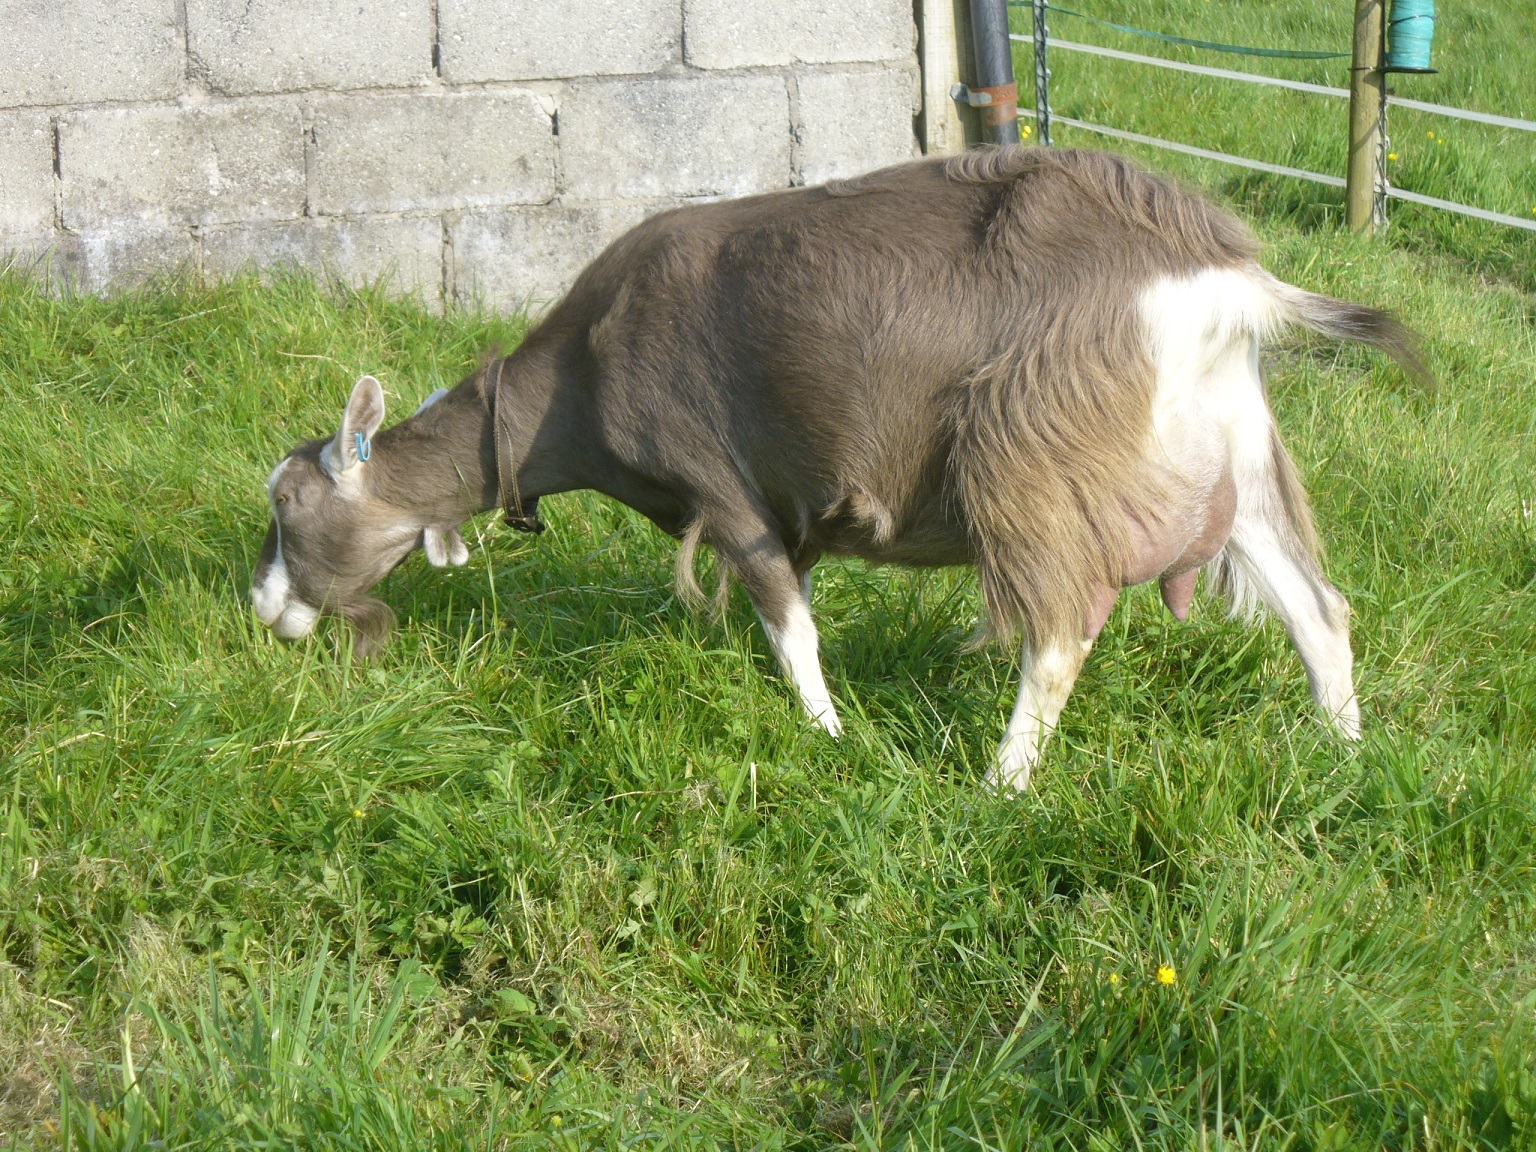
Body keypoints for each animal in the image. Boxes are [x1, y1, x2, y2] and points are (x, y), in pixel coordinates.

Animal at [250, 147, 1425, 789]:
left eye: (289, 498)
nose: (262, 609)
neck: (574, 377)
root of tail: (1220, 275)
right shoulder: (784, 502)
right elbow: (793, 601)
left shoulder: (721, 482)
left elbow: (789, 625)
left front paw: (828, 735)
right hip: (1238, 457)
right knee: (1319, 609)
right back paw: (1344, 754)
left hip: (1034, 448)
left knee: (1056, 633)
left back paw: (1001, 785)